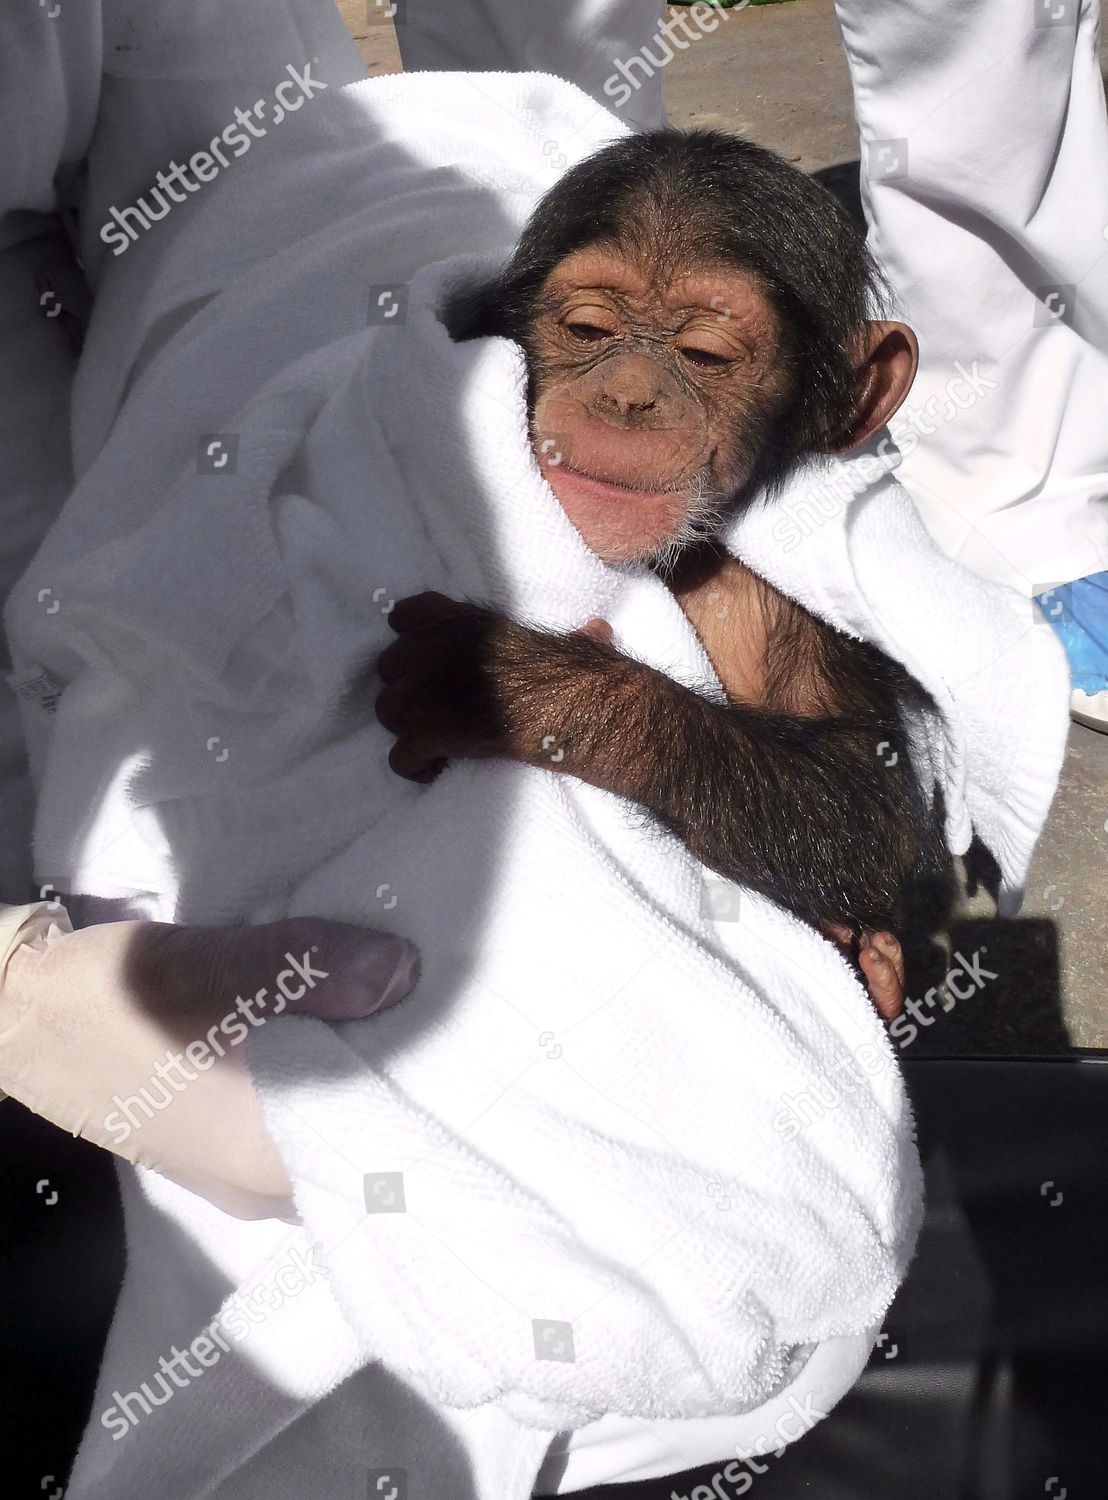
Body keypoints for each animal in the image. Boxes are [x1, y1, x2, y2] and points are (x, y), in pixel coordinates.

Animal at [374, 130, 950, 942]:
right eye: (587, 329)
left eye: (704, 354)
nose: (628, 394)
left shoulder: (803, 614)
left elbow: (868, 799)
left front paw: (519, 687)